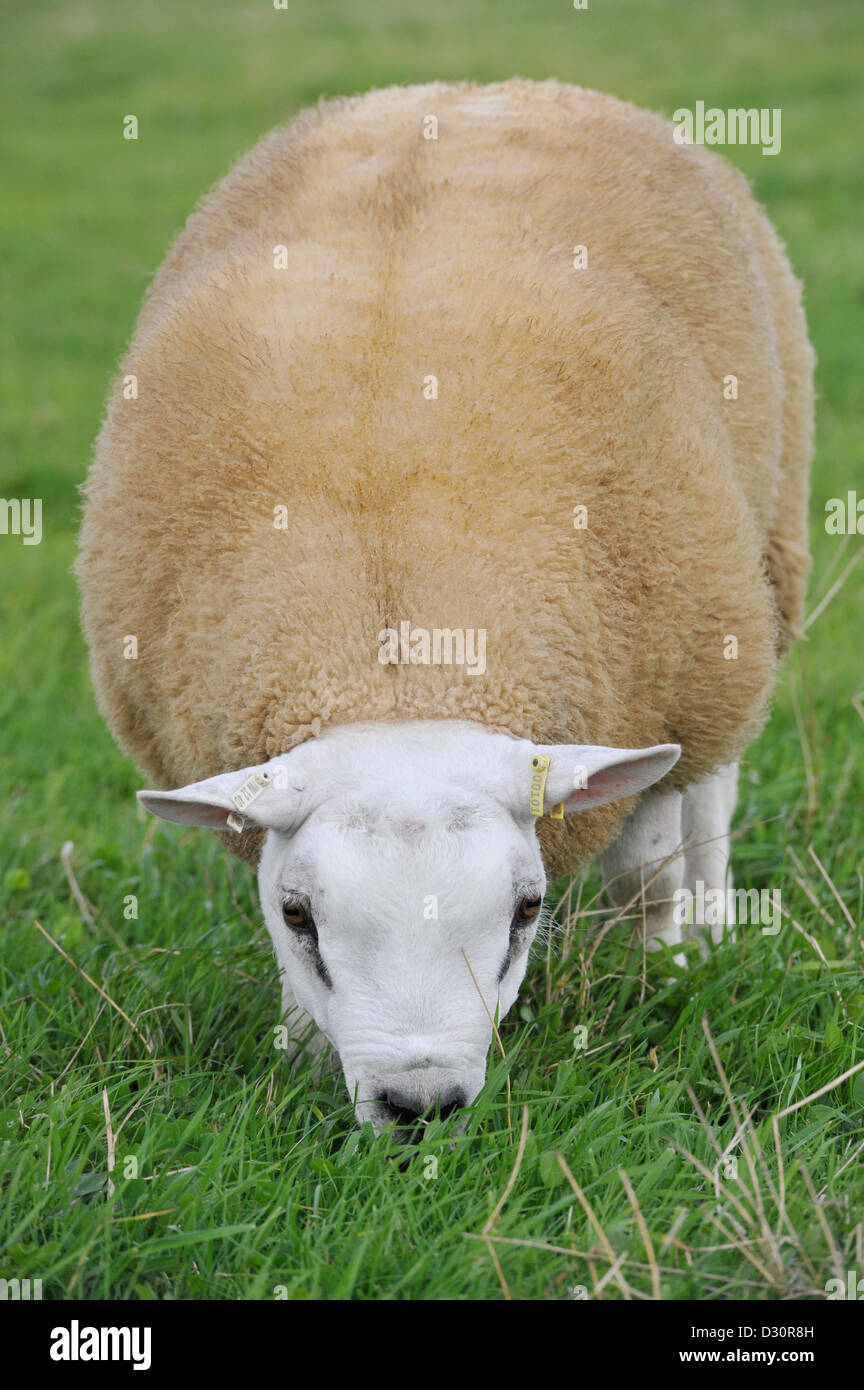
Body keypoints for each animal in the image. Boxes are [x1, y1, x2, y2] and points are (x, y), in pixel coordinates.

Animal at [77, 79, 813, 1135]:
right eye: (299, 916)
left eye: (525, 910)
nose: (419, 1104)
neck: (400, 667)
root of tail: (470, 90)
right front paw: (304, 1044)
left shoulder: (667, 682)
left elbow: (650, 870)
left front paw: (653, 971)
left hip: (749, 591)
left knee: (710, 794)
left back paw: (703, 933)